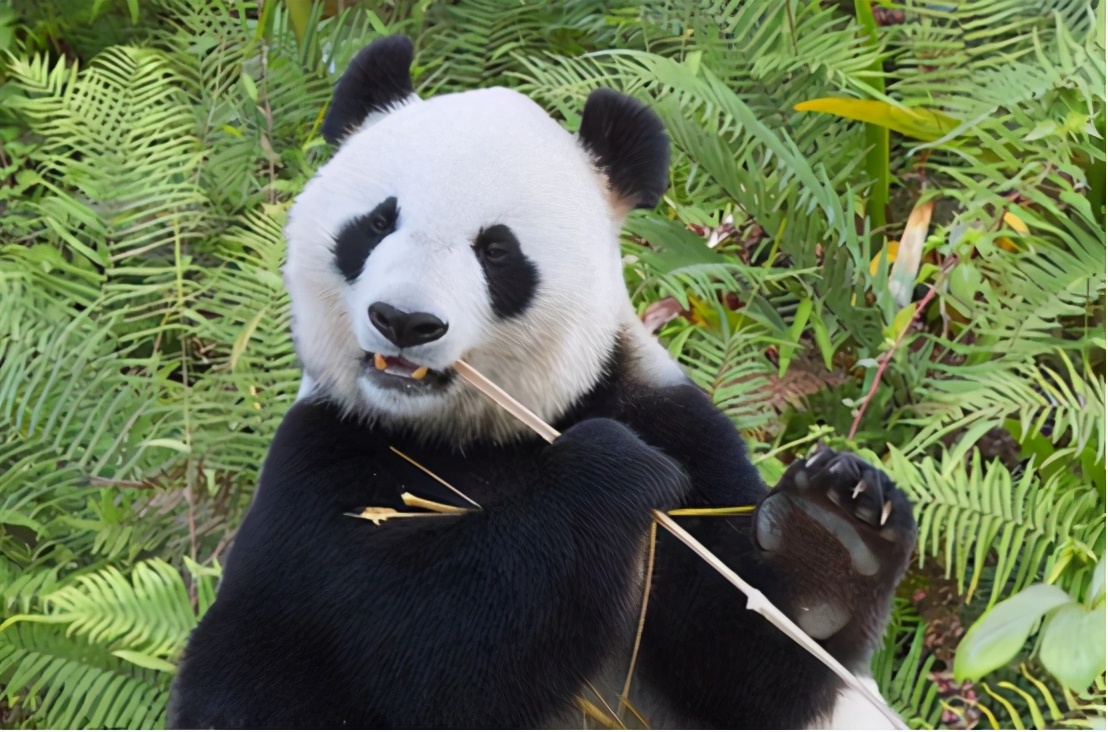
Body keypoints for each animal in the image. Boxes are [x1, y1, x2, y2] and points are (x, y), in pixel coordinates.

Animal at [168, 35, 917, 729]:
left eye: (497, 250)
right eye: (377, 222)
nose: (404, 321)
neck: (471, 436)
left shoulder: (667, 416)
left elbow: (745, 670)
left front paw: (829, 537)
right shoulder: (321, 463)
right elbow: (385, 660)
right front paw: (610, 467)